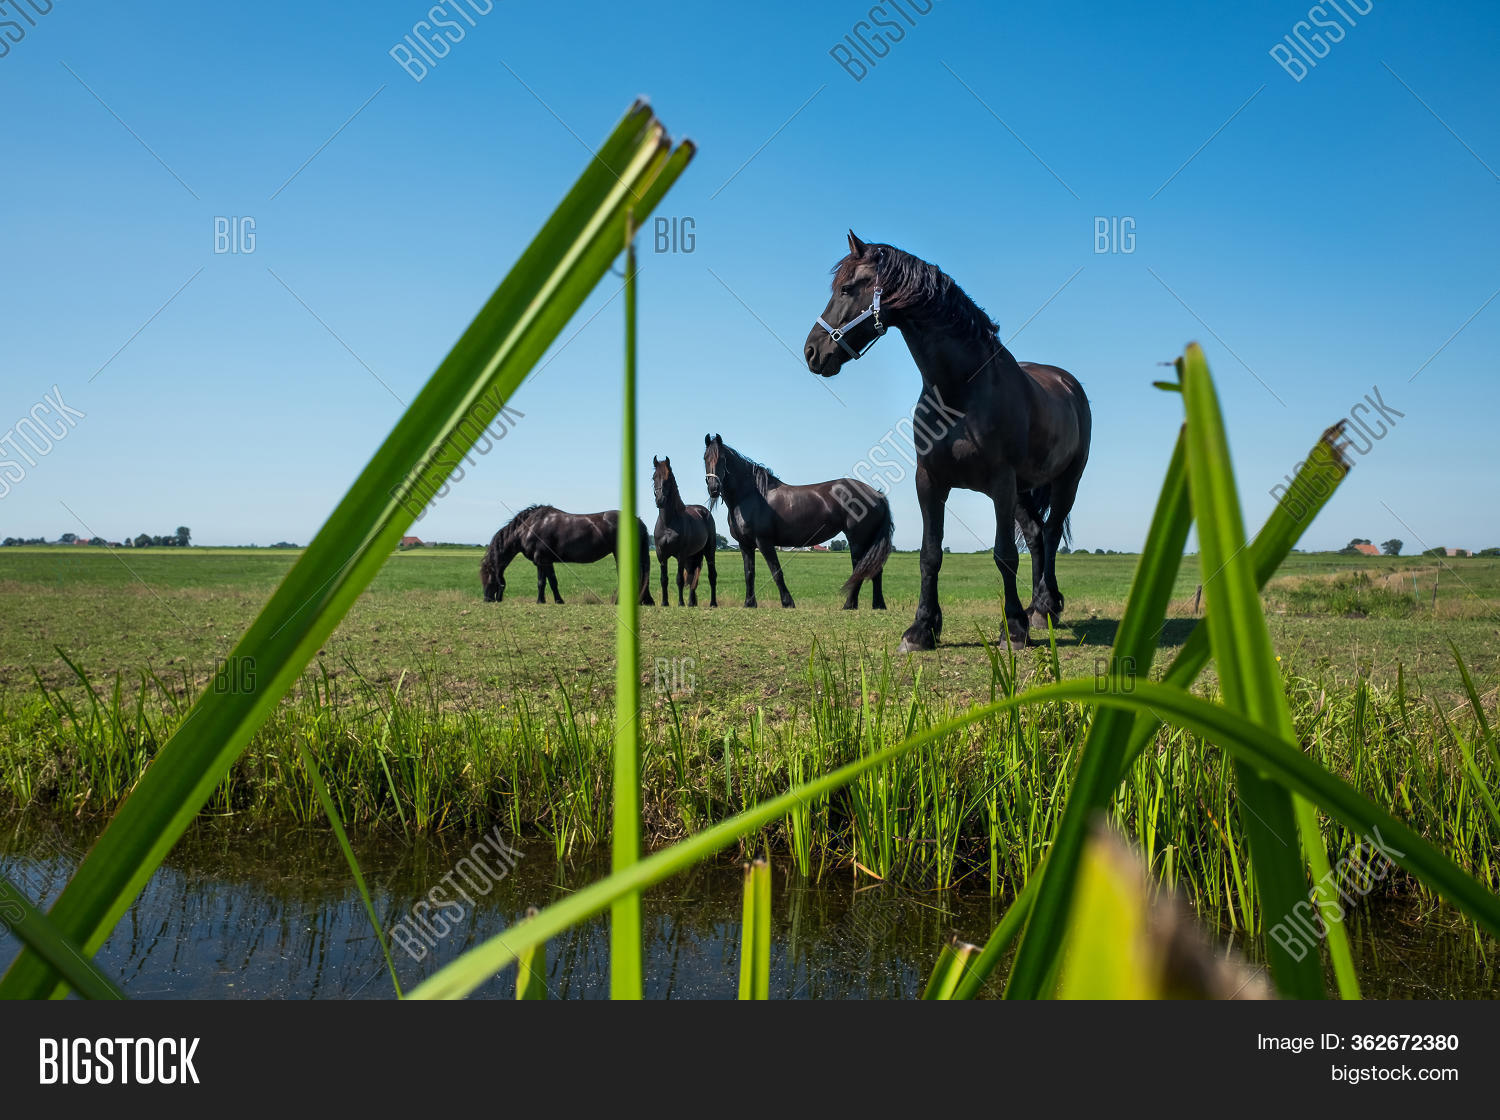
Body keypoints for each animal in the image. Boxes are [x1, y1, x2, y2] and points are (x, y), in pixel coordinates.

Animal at [479, 504, 654, 605]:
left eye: (487, 575)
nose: (487, 599)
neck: (530, 527)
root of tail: (637, 520)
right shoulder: (547, 561)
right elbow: (552, 582)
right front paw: (558, 601)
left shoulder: (541, 560)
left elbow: (541, 582)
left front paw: (540, 601)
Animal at [651, 455, 718, 607]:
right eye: (654, 478)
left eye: (668, 478)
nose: (660, 500)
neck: (668, 524)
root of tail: (703, 511)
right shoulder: (661, 555)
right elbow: (664, 579)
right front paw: (664, 603)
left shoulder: (680, 555)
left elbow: (679, 579)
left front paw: (680, 603)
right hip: (692, 556)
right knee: (693, 578)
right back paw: (691, 603)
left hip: (708, 552)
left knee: (711, 576)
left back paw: (713, 603)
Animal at [703, 434, 892, 609]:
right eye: (705, 457)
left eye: (722, 459)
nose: (713, 488)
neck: (750, 496)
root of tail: (877, 494)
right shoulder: (745, 545)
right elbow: (749, 573)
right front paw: (749, 604)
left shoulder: (764, 542)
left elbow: (776, 572)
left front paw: (787, 602)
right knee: (874, 569)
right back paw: (877, 605)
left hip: (858, 540)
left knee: (860, 568)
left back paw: (850, 605)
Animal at [803, 231, 1091, 651]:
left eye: (846, 288)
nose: (812, 351)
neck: (961, 392)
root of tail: (1067, 383)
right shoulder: (930, 482)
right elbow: (930, 554)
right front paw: (922, 628)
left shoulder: (1001, 484)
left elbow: (1004, 555)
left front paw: (1013, 628)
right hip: (1023, 491)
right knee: (1038, 537)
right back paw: (1038, 608)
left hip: (1065, 481)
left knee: (1051, 537)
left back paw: (1043, 608)